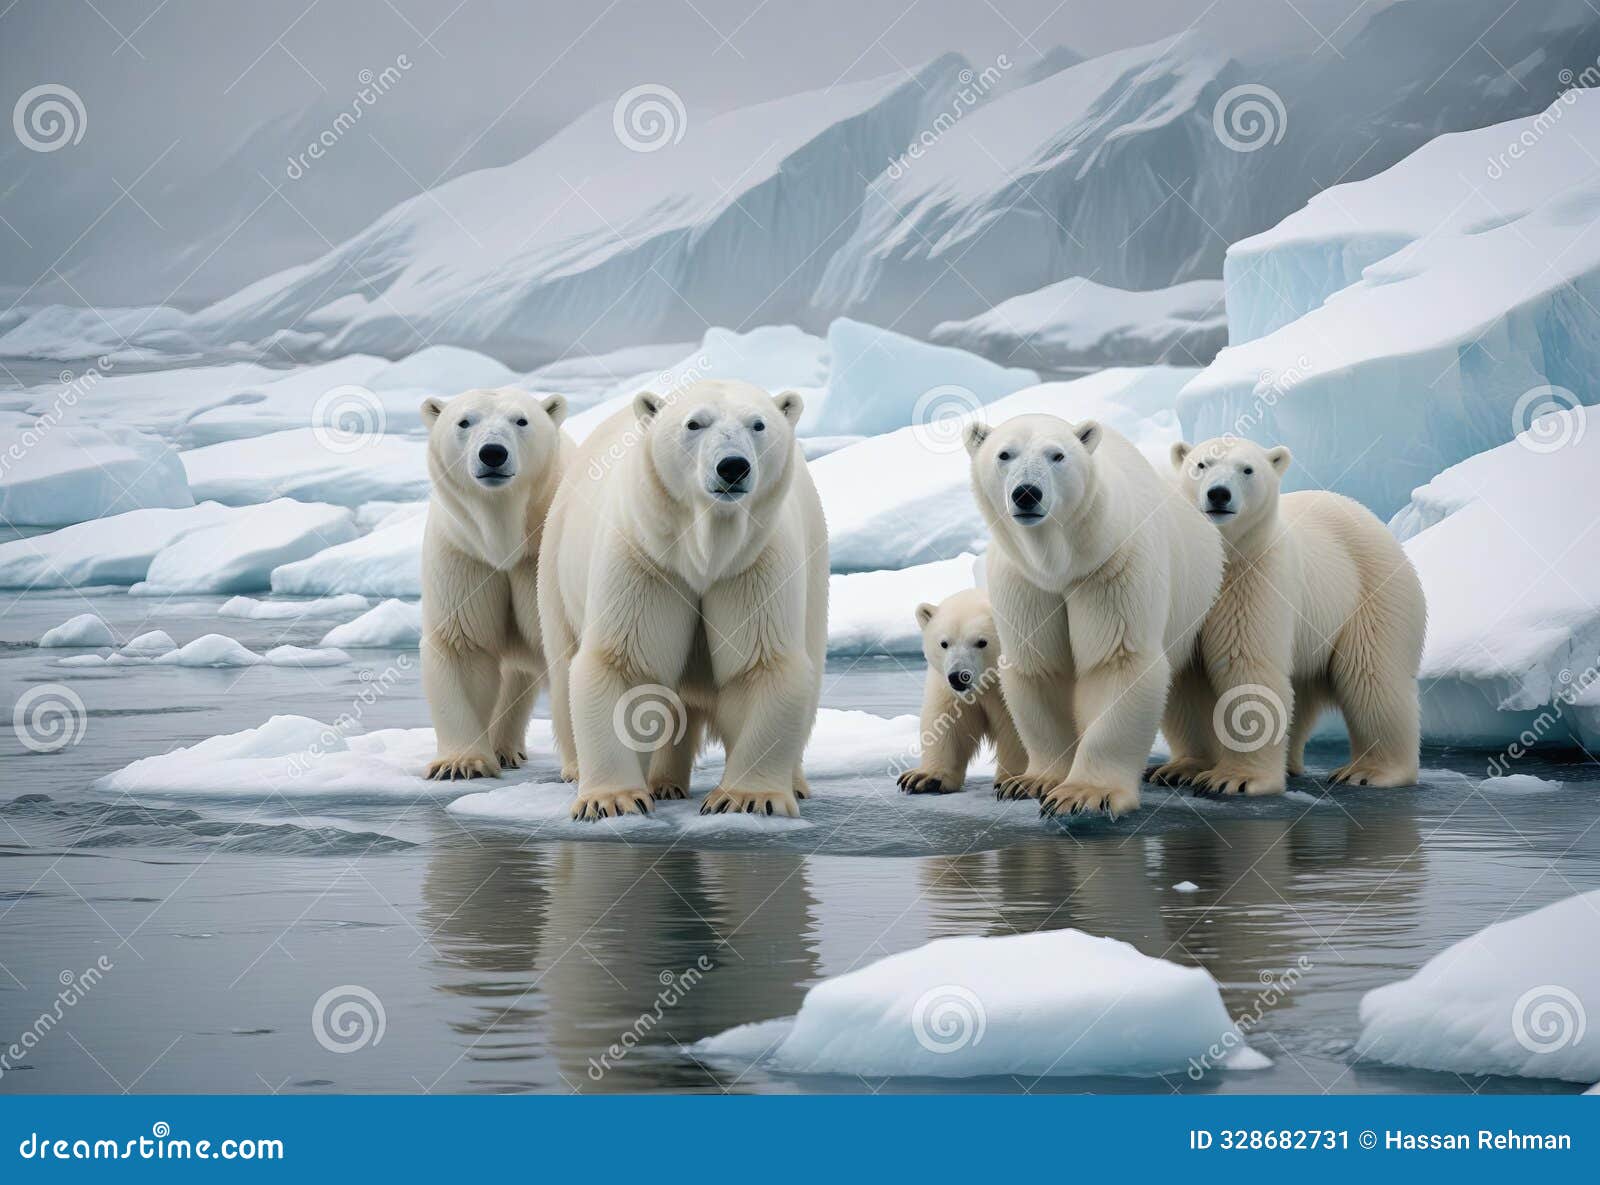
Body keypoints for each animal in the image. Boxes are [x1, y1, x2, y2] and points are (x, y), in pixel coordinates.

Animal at [420, 386, 572, 780]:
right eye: (464, 421)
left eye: (521, 420)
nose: (492, 453)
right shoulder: (464, 554)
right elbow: (463, 644)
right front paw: (460, 764)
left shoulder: (540, 560)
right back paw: (504, 749)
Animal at [538, 378, 828, 820]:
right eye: (695, 423)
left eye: (758, 424)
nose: (732, 466)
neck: (705, 551)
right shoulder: (647, 558)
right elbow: (624, 664)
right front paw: (612, 800)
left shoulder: (754, 562)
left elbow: (761, 663)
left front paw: (747, 798)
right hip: (556, 570)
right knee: (563, 668)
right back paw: (601, 774)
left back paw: (790, 782)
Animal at [896, 588, 1027, 794]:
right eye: (944, 643)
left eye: (982, 642)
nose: (958, 677)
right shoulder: (947, 688)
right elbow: (947, 722)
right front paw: (924, 778)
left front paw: (1014, 781)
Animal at [966, 413, 1223, 818]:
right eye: (1004, 454)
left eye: (1057, 455)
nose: (1027, 493)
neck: (1063, 562)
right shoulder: (1026, 583)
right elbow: (1039, 665)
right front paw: (1031, 782)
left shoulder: (1111, 566)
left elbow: (1117, 661)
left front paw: (1084, 794)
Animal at [1156, 436, 1425, 793]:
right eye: (1202, 464)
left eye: (1247, 469)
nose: (1219, 494)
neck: (1227, 554)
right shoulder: (1190, 589)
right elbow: (1186, 678)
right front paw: (1180, 769)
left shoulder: (1254, 577)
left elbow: (1246, 666)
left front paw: (1236, 779)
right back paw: (1292, 763)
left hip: (1373, 592)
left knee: (1372, 676)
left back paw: (1369, 771)